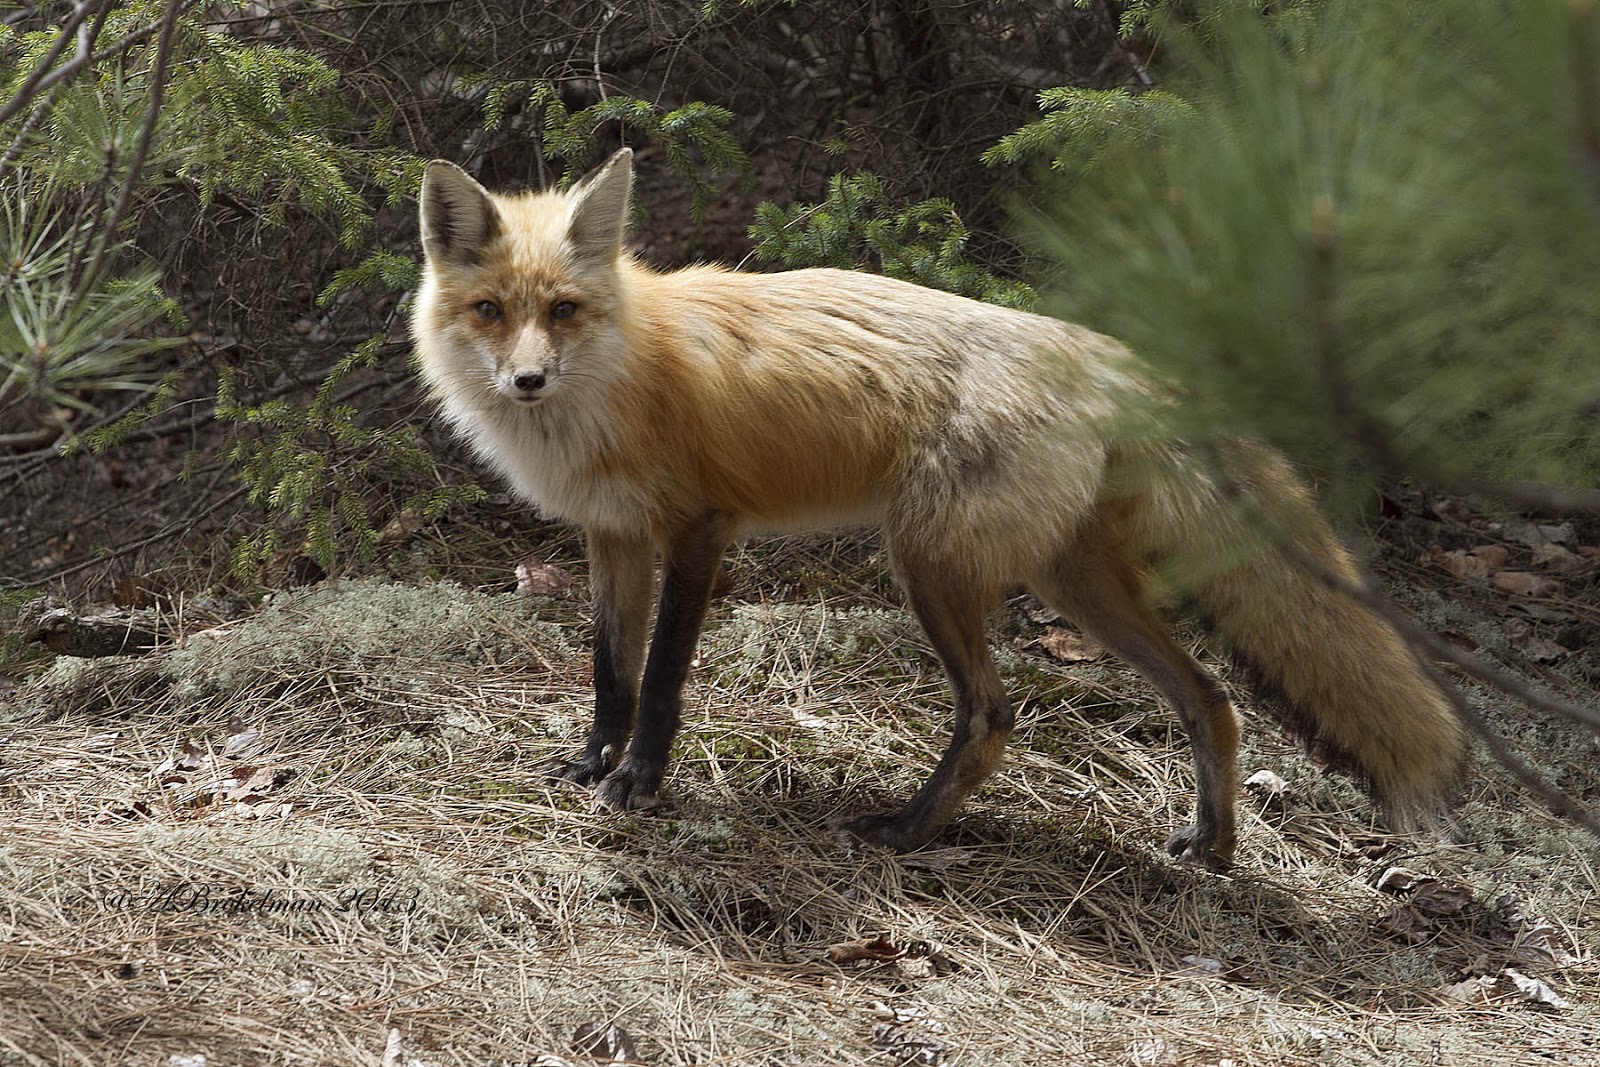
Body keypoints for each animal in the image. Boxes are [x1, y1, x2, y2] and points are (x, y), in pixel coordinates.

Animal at [411, 147, 1465, 868]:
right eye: (491, 311)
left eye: (565, 310)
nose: (528, 381)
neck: (621, 379)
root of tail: (1107, 354)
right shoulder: (614, 532)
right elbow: (609, 673)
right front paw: (594, 763)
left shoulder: (700, 529)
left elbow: (662, 679)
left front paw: (640, 783)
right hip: (1075, 584)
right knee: (1209, 696)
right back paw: (1210, 846)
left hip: (927, 563)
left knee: (994, 714)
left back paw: (909, 828)